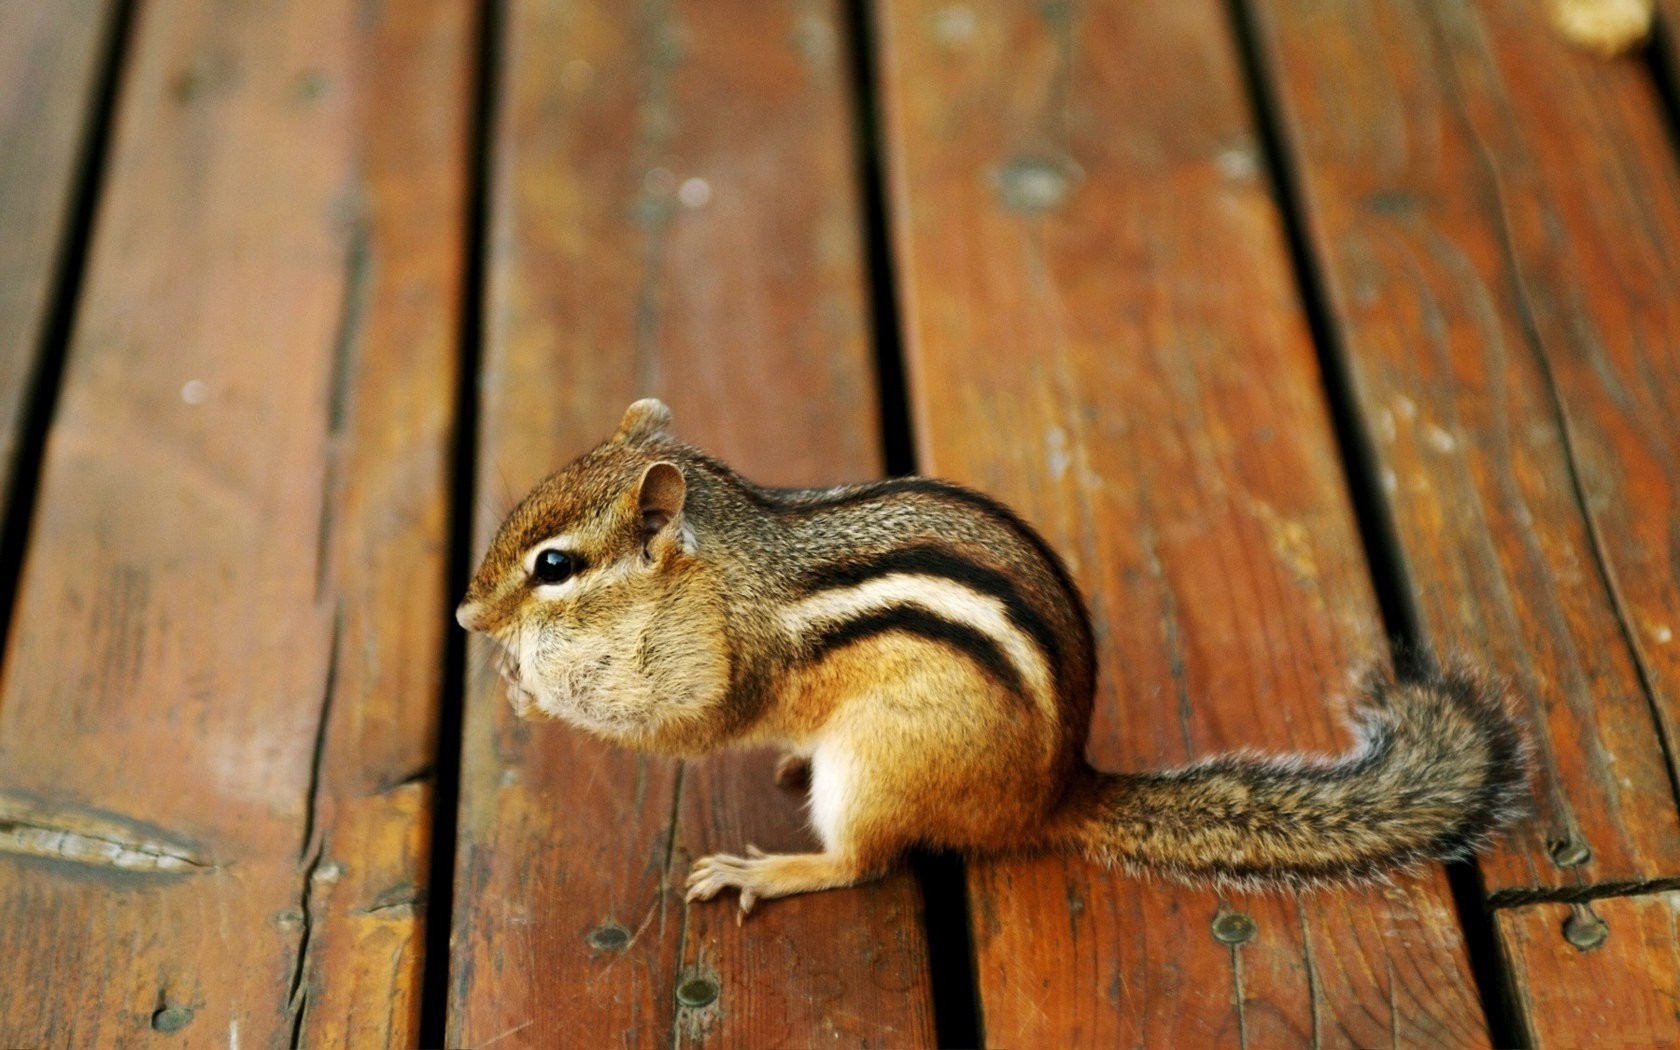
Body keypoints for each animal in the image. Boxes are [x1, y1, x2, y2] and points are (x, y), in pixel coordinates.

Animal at [457, 399, 1529, 915]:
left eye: (555, 566)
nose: (467, 616)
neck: (720, 556)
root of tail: (1051, 794)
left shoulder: (725, 662)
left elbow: (683, 727)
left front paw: (531, 688)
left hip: (878, 766)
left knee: (860, 863)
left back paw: (775, 871)